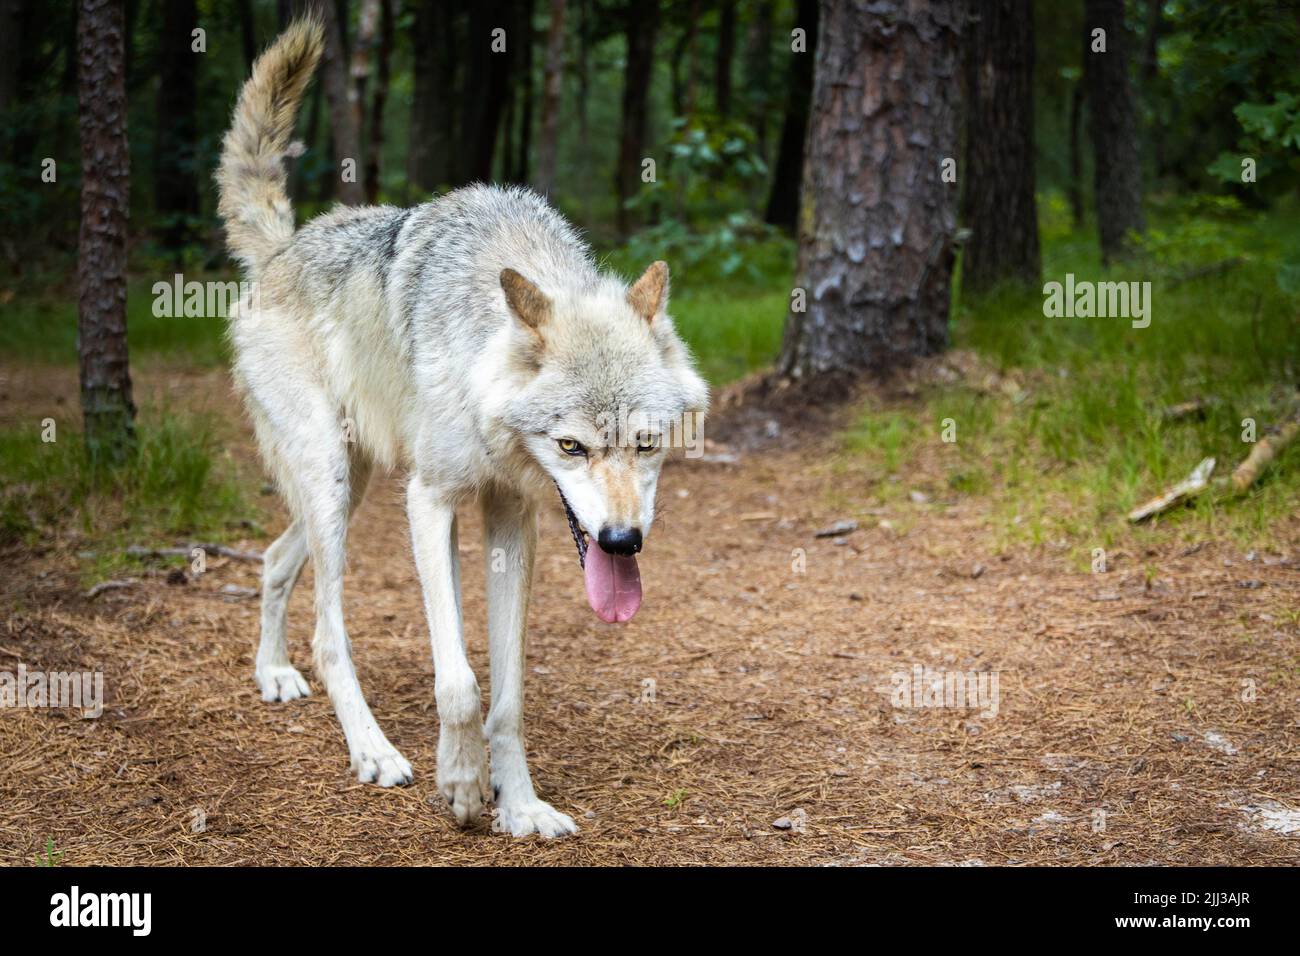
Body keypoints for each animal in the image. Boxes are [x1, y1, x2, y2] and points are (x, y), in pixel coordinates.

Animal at [216, 19, 707, 837]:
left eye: (644, 444)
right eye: (571, 445)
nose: (620, 542)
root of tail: (281, 250)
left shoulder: (512, 519)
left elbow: (506, 695)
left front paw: (521, 803)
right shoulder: (432, 501)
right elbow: (460, 682)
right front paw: (464, 784)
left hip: (350, 486)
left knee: (274, 559)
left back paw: (274, 674)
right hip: (335, 483)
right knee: (329, 632)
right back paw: (372, 750)